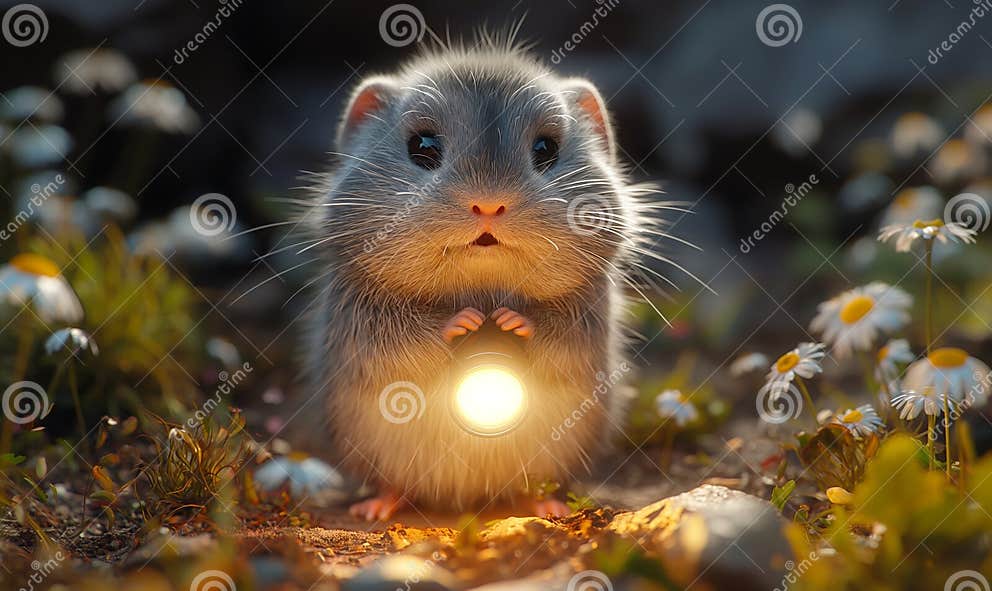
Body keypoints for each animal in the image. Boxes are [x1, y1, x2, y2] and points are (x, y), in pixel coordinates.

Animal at [296, 33, 667, 521]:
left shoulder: (584, 320)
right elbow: (405, 344)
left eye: (545, 149)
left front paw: (511, 322)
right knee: (393, 483)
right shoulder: (367, 321)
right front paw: (466, 322)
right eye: (422, 145)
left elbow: (558, 340)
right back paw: (377, 507)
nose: (489, 204)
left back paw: (545, 505)